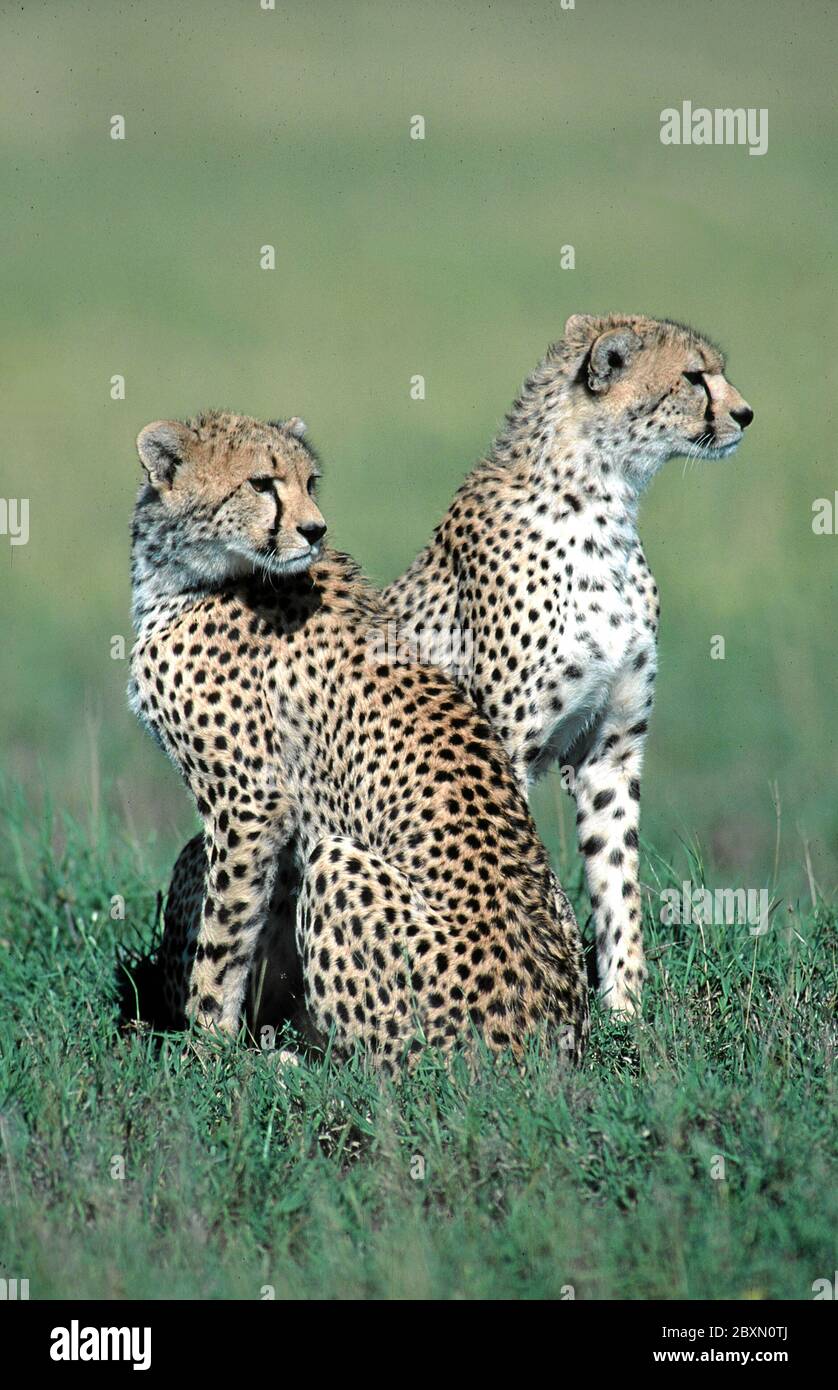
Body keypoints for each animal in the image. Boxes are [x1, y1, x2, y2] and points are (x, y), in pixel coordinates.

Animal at [127, 410, 588, 1065]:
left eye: (309, 481)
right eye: (261, 483)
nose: (314, 529)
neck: (191, 573)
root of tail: (549, 1038)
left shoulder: (251, 803)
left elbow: (222, 938)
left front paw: (205, 1046)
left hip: (342, 871)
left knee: (390, 1068)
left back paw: (296, 1061)